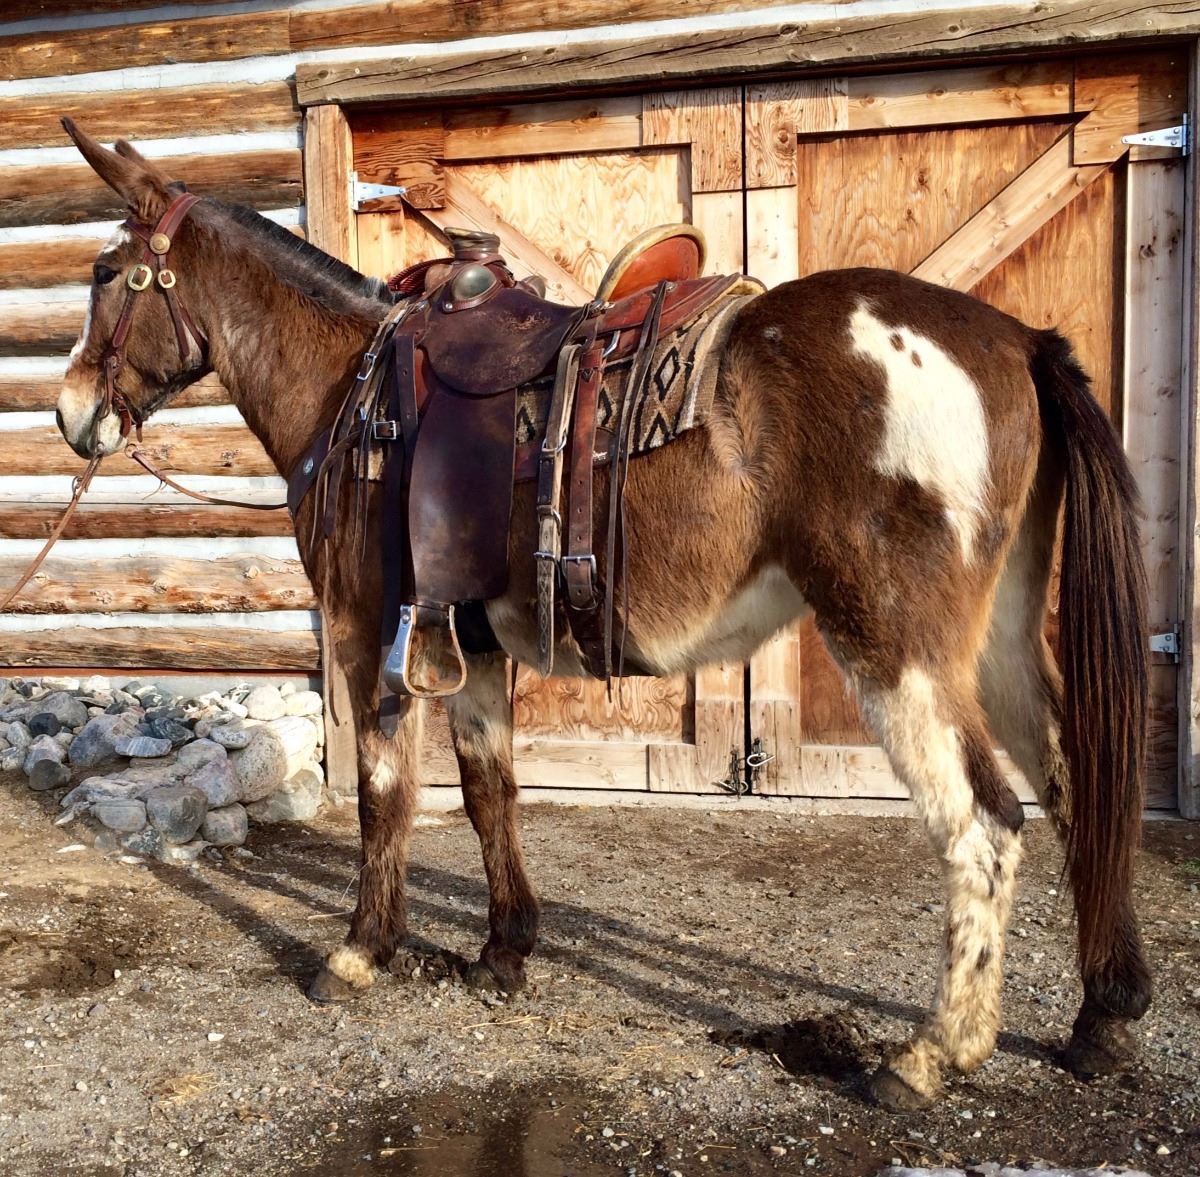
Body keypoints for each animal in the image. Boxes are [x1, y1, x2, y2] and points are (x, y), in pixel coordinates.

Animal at [53, 119, 1151, 1111]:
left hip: (898, 648)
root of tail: (1015, 339)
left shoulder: (373, 633)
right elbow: (489, 789)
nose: (69, 414)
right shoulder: (471, 641)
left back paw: (931, 1054)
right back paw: (1104, 1014)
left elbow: (383, 794)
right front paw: (503, 951)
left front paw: (362, 951)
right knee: (1077, 778)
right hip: (1001, 639)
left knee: (985, 822)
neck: (351, 393)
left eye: (107, 272)